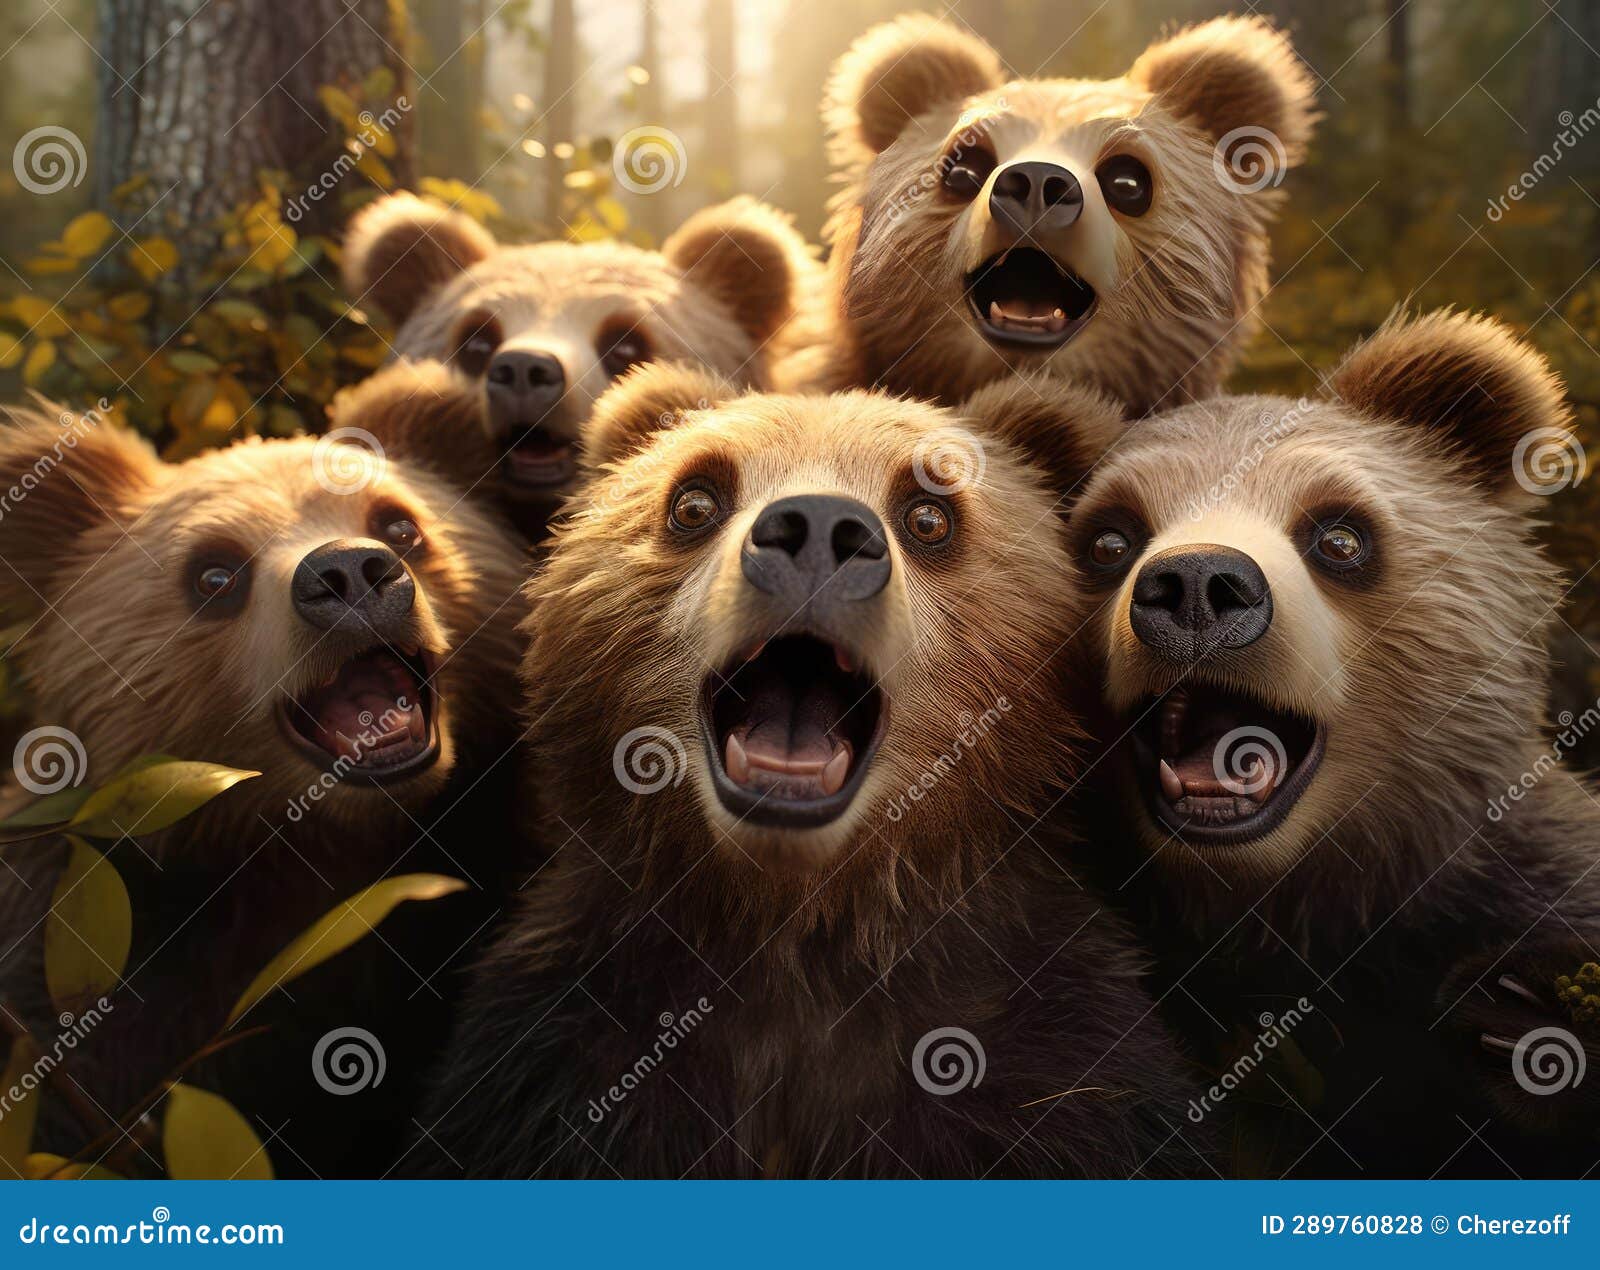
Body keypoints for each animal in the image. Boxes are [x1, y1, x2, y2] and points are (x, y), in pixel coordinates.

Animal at [406, 362, 1219, 1180]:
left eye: (931, 515)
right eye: (694, 499)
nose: (821, 531)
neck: (800, 925)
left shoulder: (1054, 1053)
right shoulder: (560, 1052)